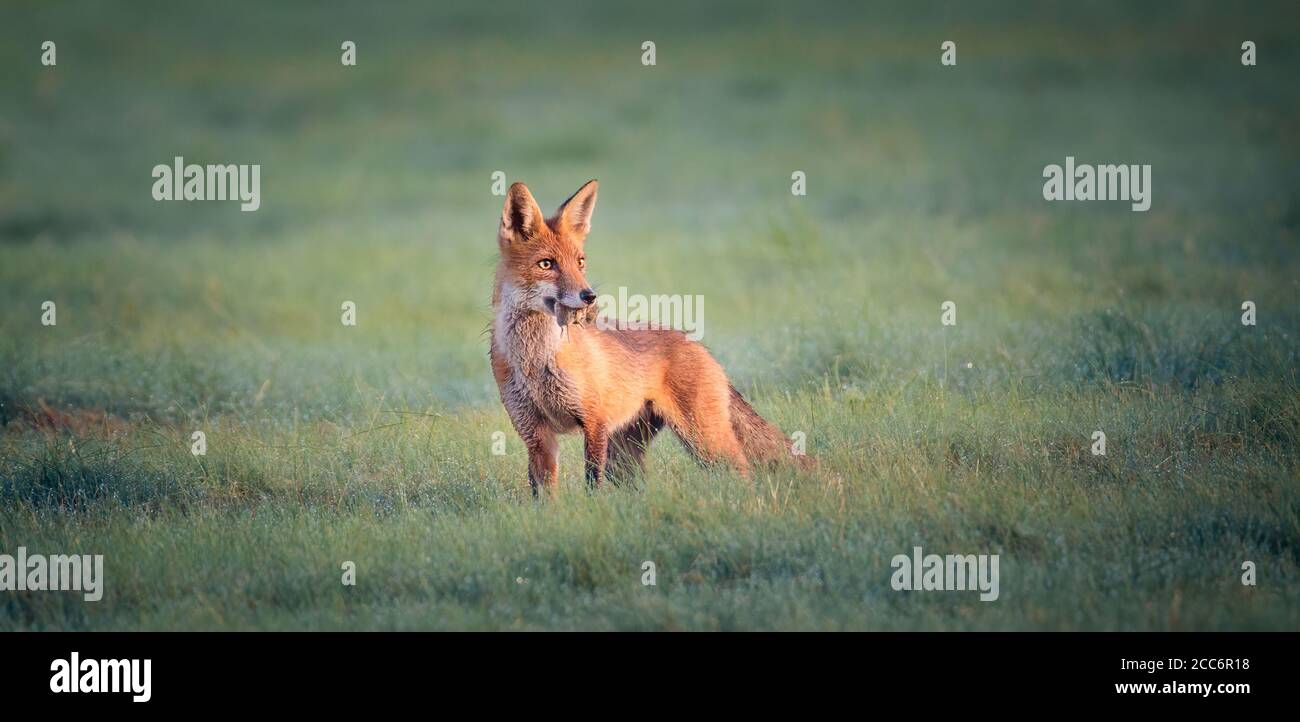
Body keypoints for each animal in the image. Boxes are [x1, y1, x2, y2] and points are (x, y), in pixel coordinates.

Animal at [490, 180, 800, 495]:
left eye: (580, 262)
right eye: (546, 264)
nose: (590, 296)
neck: (534, 361)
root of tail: (697, 344)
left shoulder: (594, 420)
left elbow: (592, 483)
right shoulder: (535, 432)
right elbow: (542, 492)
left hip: (702, 439)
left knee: (740, 469)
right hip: (625, 456)